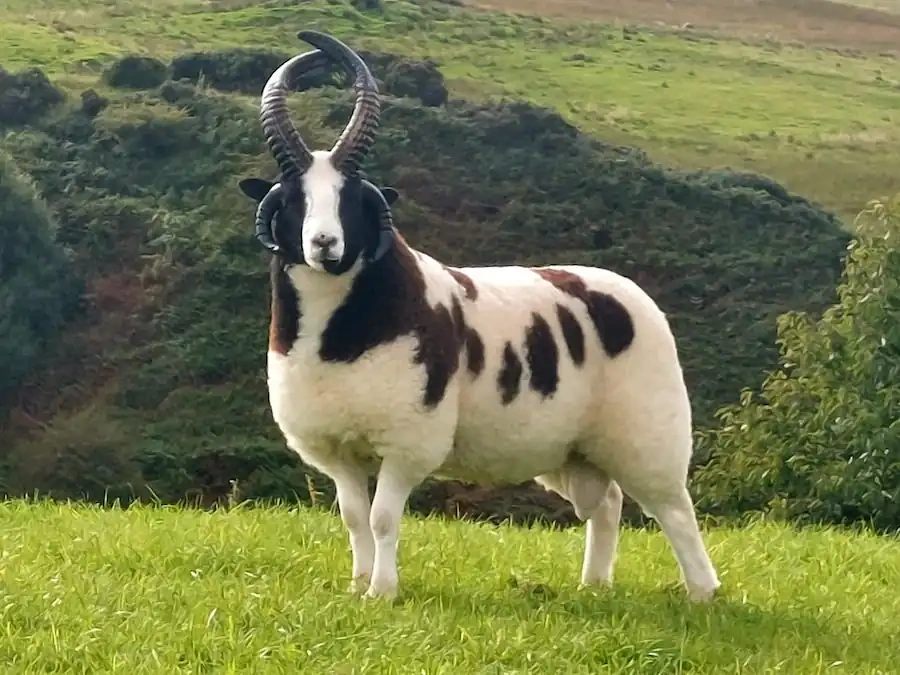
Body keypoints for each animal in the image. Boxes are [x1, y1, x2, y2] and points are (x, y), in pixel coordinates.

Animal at [236, 30, 721, 603]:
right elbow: (354, 518)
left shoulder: (408, 441)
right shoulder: (335, 448)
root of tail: (631, 296)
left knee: (675, 510)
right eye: (294, 199)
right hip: (575, 449)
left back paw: (703, 592)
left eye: (352, 198)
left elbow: (382, 520)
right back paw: (594, 585)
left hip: (648, 431)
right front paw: (358, 586)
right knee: (607, 506)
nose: (324, 245)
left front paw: (383, 592)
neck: (339, 333)